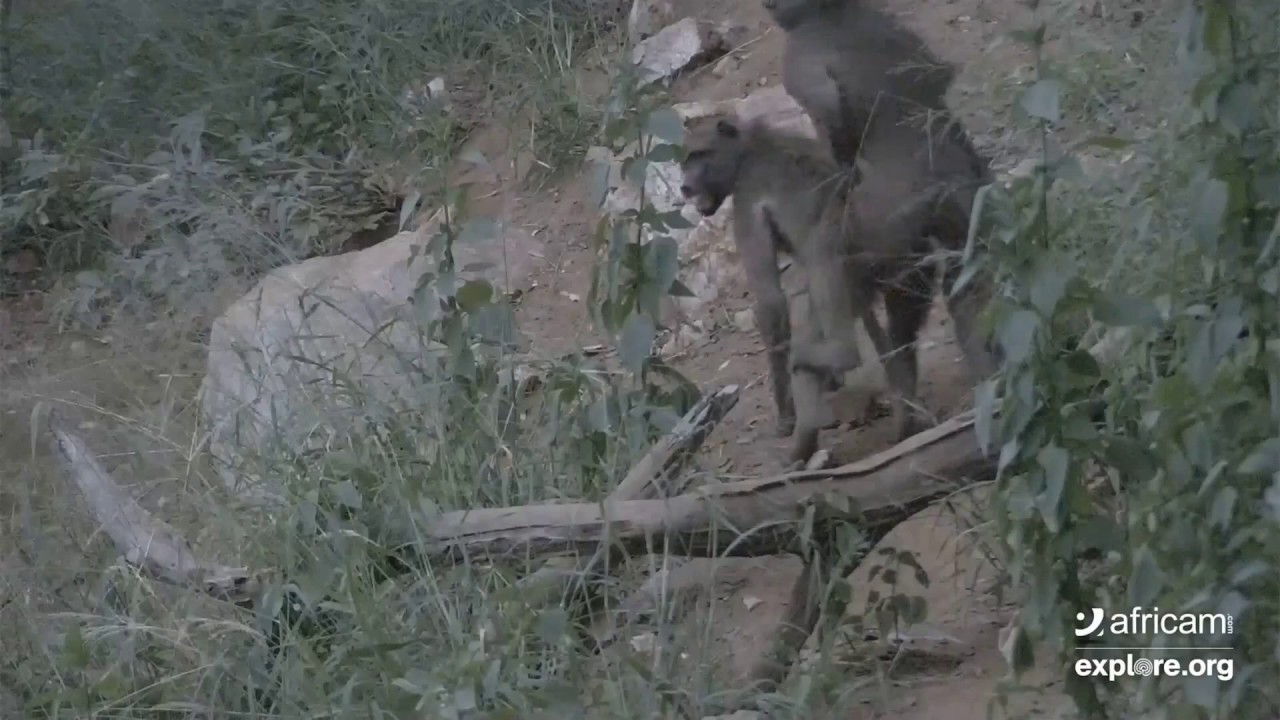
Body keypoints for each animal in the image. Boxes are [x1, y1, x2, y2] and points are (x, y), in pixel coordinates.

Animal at [679, 115, 942, 465]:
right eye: (685, 161)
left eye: (700, 155)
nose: (685, 186)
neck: (749, 147)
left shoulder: (747, 196)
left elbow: (771, 300)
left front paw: (785, 417)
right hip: (910, 264)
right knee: (900, 331)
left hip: (857, 250)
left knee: (815, 299)